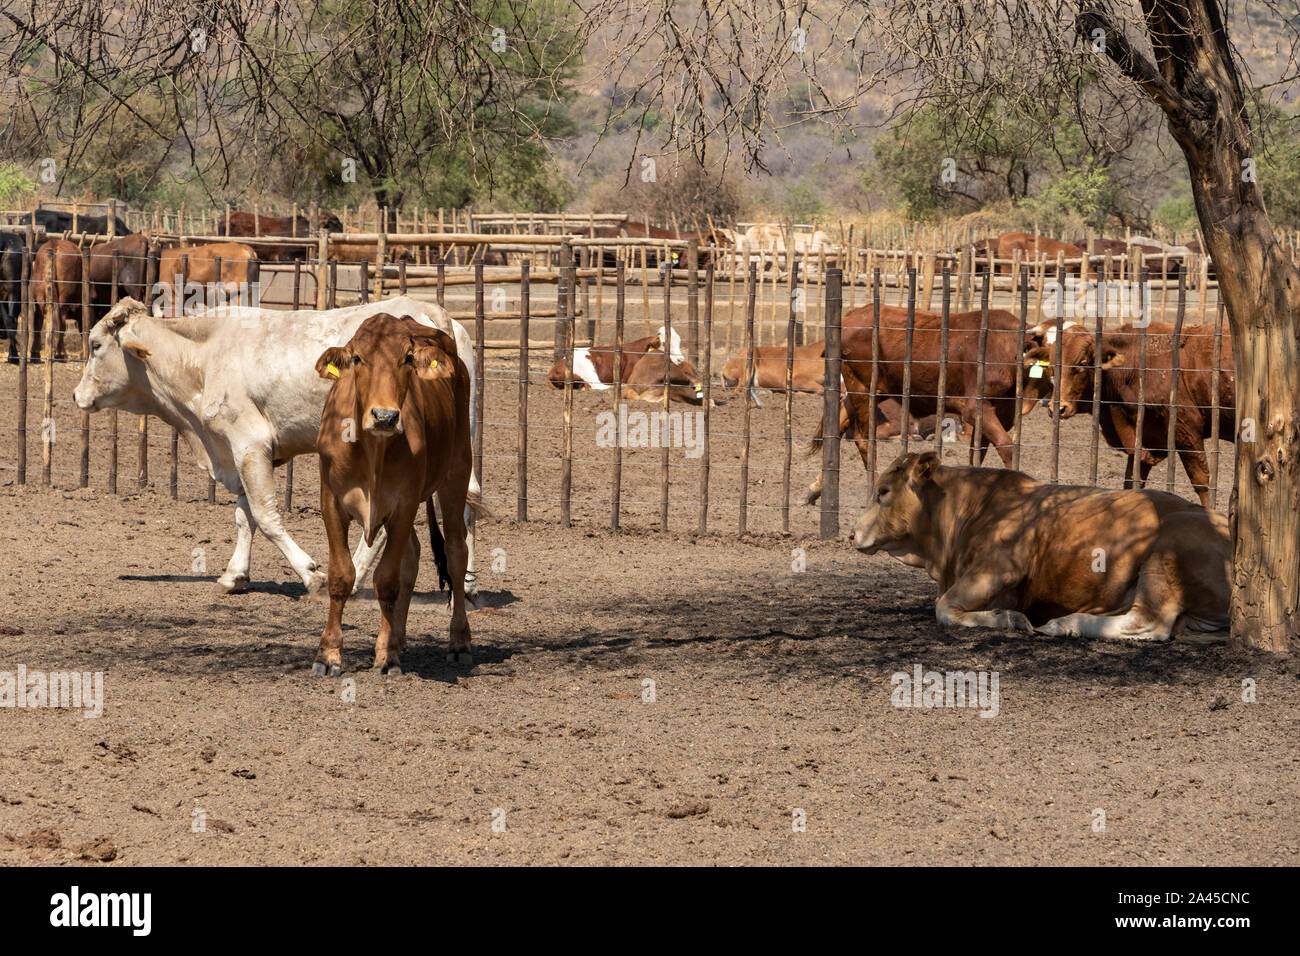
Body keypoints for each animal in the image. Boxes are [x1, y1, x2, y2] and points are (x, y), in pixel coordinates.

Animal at [72, 295, 481, 599]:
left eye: (95, 345)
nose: (77, 395)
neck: (204, 358)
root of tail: (433, 316)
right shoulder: (237, 451)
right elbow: (244, 515)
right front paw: (234, 575)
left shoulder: (249, 443)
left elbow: (265, 515)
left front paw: (311, 574)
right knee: (467, 500)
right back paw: (467, 581)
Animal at [313, 313, 475, 675]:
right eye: (357, 358)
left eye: (408, 358)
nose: (385, 416)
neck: (372, 449)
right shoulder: (331, 502)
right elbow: (341, 575)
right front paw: (328, 655)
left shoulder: (403, 506)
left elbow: (386, 579)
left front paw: (386, 655)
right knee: (412, 556)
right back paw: (399, 638)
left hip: (457, 471)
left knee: (456, 552)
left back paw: (458, 640)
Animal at [547, 327, 705, 405]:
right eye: (665, 343)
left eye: (679, 342)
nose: (680, 359)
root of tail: (552, 370)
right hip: (588, 369)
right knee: (597, 386)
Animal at [850, 451, 1231, 642]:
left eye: (883, 491)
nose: (853, 534)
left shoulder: (999, 568)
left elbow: (943, 607)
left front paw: (1009, 619)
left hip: (1166, 554)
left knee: (1150, 622)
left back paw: (1064, 624)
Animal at [1024, 321, 1235, 506]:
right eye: (1051, 365)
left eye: (1082, 363)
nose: (1057, 408)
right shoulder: (1144, 437)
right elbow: (1132, 480)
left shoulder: (1186, 429)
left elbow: (1202, 482)